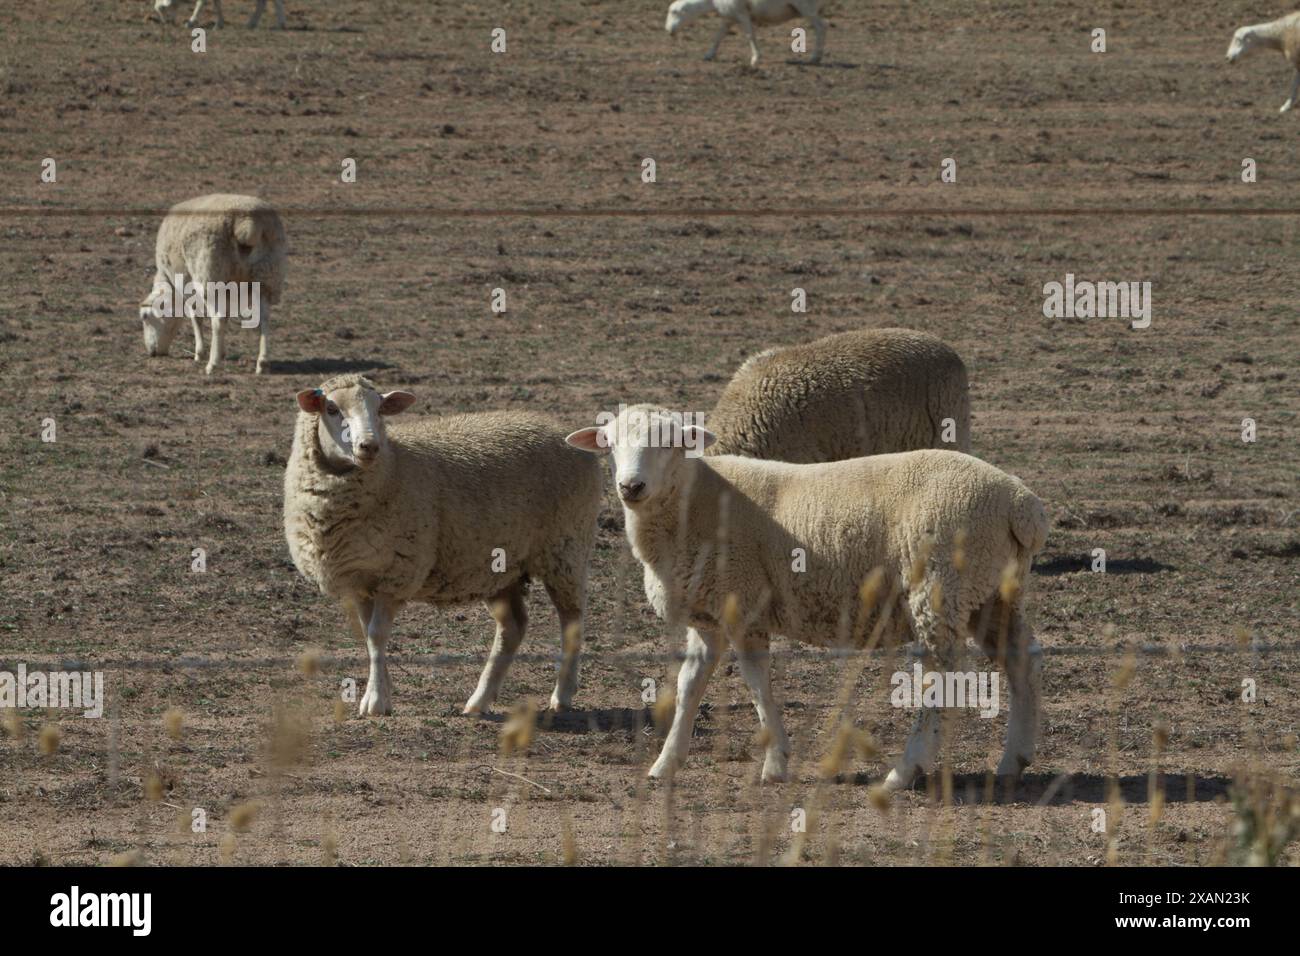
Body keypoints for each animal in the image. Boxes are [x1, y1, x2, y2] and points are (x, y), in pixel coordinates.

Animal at [139, 194, 286, 375]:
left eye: (145, 317)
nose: (152, 353)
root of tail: (247, 224)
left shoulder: (186, 283)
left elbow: (196, 317)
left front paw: (200, 353)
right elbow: (227, 315)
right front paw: (221, 352)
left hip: (210, 273)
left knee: (218, 319)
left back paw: (212, 364)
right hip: (267, 274)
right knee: (264, 317)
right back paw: (263, 363)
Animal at [284, 374, 604, 718]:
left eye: (379, 408)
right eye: (331, 408)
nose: (369, 446)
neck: (393, 466)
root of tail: (561, 431)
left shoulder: (397, 573)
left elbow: (377, 635)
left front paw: (376, 700)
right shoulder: (359, 579)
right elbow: (369, 636)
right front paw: (382, 689)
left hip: (566, 549)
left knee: (571, 621)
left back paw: (562, 694)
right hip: (500, 567)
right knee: (513, 627)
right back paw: (479, 701)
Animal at [566, 405, 1048, 790]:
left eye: (670, 443)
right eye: (609, 444)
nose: (631, 487)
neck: (693, 500)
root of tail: (1020, 503)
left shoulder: (743, 602)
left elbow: (757, 684)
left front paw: (776, 763)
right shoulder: (708, 617)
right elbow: (688, 686)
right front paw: (666, 764)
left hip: (938, 588)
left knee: (941, 679)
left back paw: (903, 772)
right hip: (989, 593)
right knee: (1022, 660)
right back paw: (1013, 761)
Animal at [665, 0, 827, 68]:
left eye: (674, 12)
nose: (668, 31)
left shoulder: (742, 14)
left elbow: (750, 35)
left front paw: (755, 58)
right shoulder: (729, 16)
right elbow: (719, 36)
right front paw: (709, 55)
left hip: (807, 8)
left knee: (821, 28)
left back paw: (815, 57)